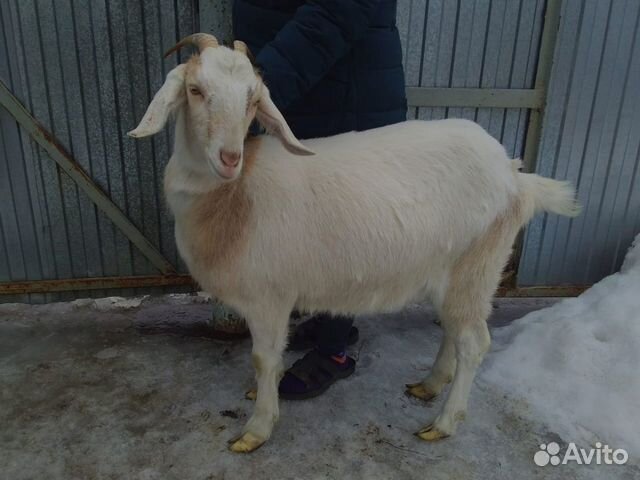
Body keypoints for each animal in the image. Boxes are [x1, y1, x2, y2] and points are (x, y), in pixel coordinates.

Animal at [129, 34, 580, 453]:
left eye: (252, 99)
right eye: (195, 90)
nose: (229, 158)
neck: (237, 197)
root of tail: (514, 174)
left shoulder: (268, 296)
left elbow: (263, 359)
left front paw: (256, 429)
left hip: (478, 264)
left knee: (474, 342)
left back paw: (444, 422)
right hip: (452, 273)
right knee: (454, 329)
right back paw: (431, 383)